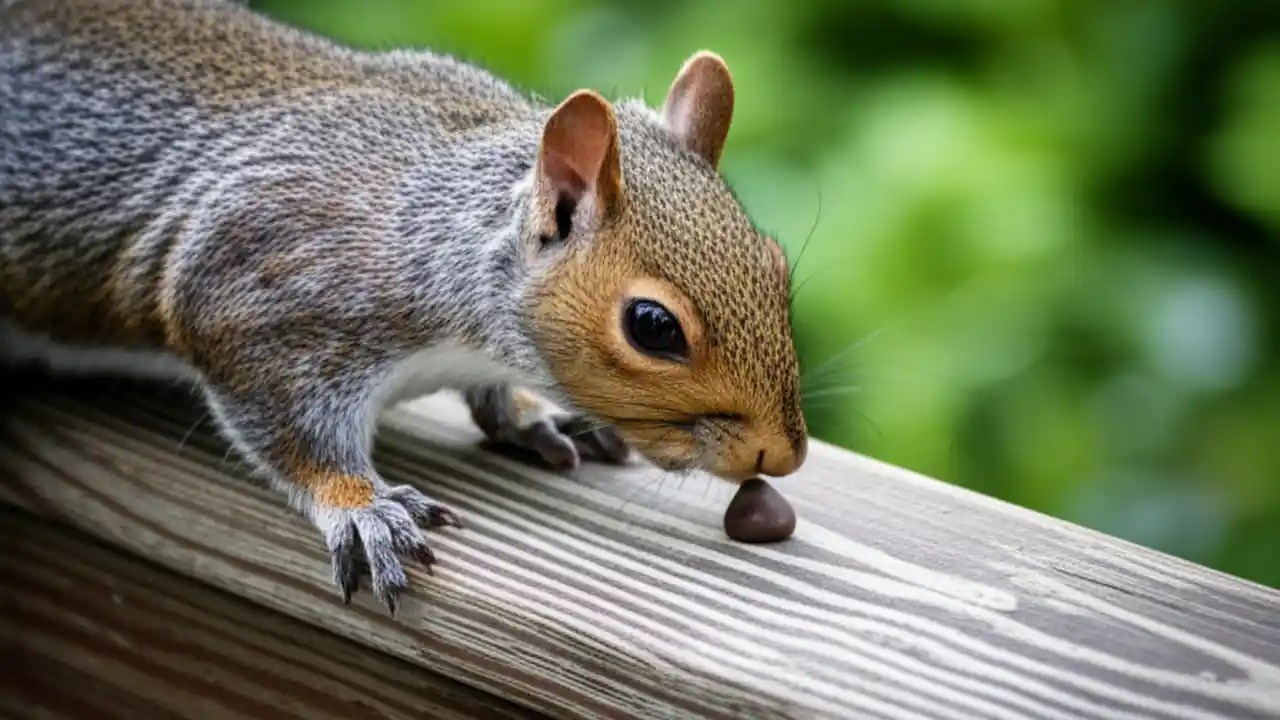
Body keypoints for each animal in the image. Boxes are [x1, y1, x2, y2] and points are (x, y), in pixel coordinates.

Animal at [0, 0, 808, 611]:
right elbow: (289, 430)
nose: (783, 455)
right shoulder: (261, 293)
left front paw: (532, 412)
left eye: (774, 263)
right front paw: (362, 507)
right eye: (652, 326)